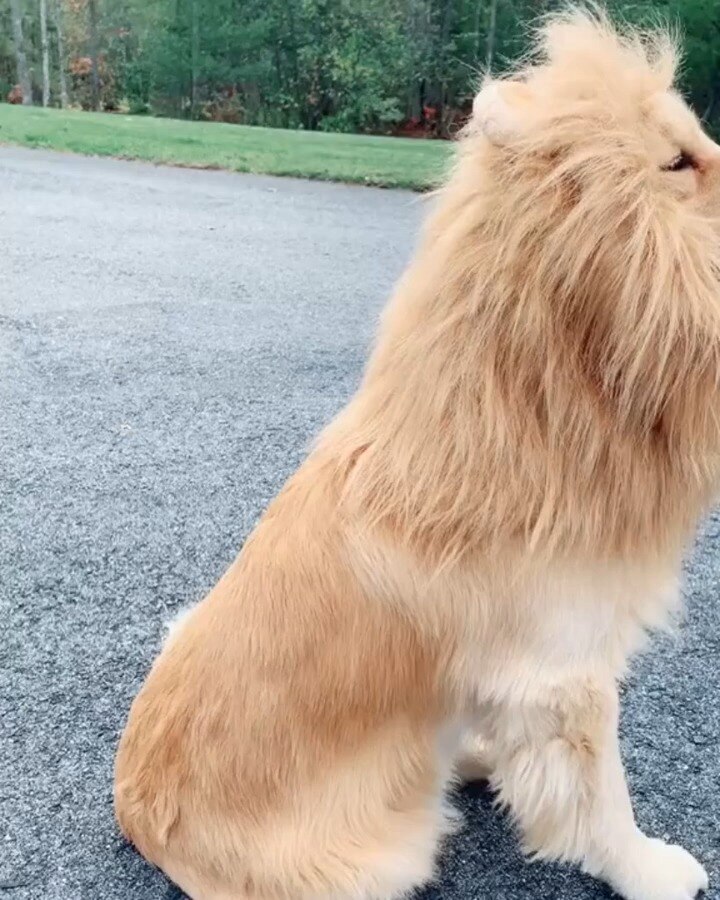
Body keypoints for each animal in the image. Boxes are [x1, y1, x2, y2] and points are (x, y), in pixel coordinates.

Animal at [114, 9, 720, 900]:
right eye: (680, 162)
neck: (532, 400)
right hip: (378, 860)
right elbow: (601, 796)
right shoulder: (566, 673)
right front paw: (648, 868)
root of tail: (135, 813)